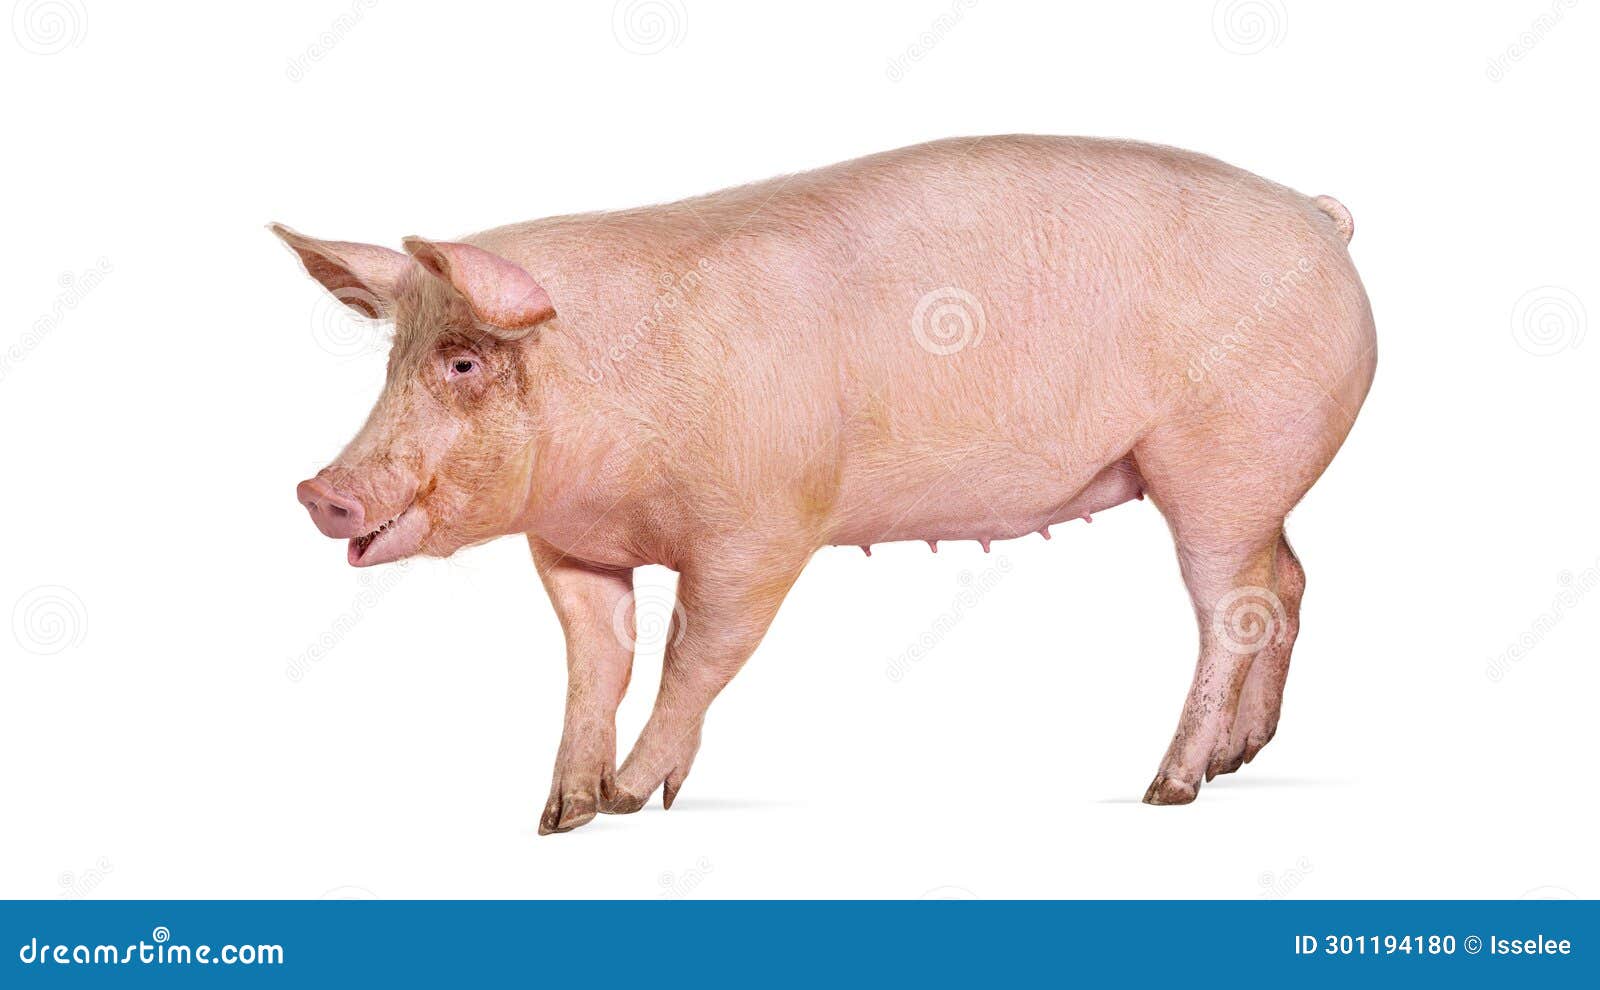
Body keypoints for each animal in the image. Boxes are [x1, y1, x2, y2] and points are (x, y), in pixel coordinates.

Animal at [277, 135, 1375, 833]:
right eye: (393, 360)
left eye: (464, 361)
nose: (319, 491)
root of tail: (1320, 222)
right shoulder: (573, 549)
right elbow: (596, 662)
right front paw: (560, 819)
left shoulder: (761, 529)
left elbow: (697, 656)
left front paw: (632, 799)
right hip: (1261, 479)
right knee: (1285, 582)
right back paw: (1239, 758)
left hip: (1222, 460)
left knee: (1230, 608)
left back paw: (1170, 788)